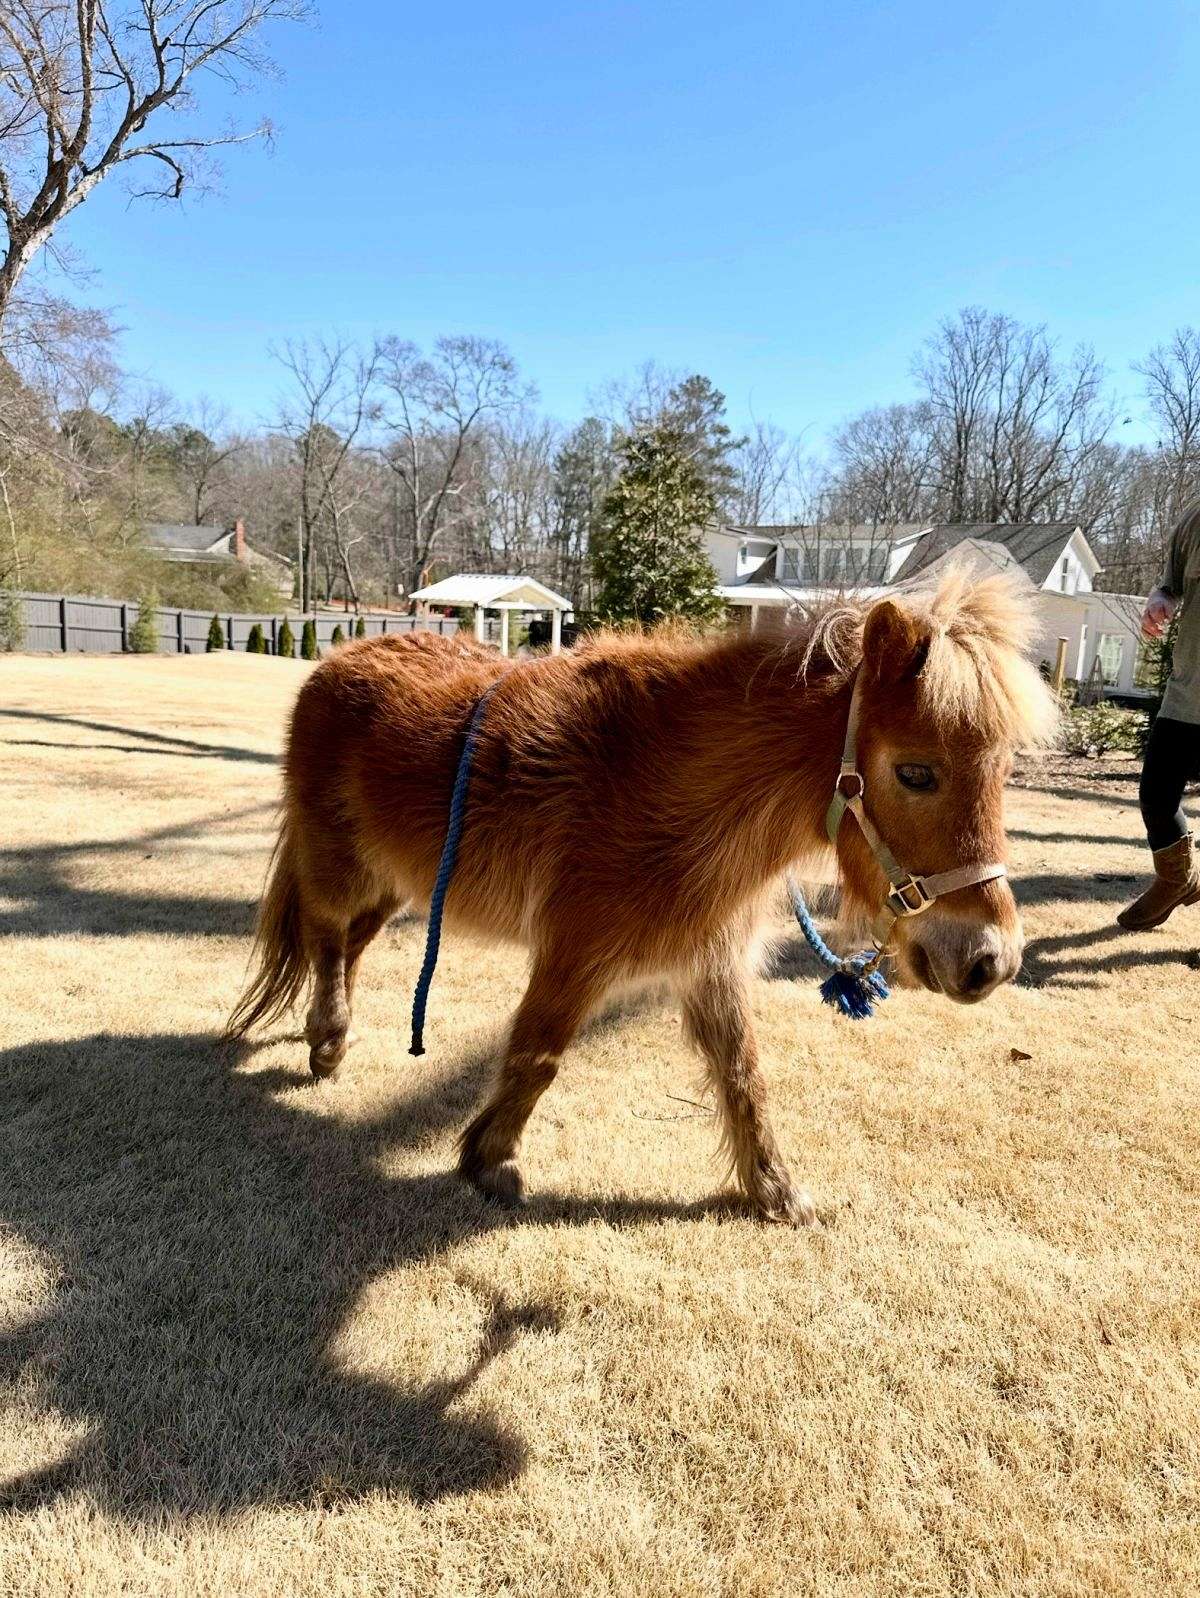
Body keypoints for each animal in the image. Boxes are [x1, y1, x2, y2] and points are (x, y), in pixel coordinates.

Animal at [226, 570, 1057, 1226]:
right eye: (916, 773)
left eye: (1002, 773)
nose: (991, 961)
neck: (664, 790)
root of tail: (337, 659)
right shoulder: (575, 955)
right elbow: (538, 1054)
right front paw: (489, 1161)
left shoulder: (709, 962)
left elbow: (744, 1075)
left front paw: (775, 1192)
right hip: (341, 865)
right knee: (327, 934)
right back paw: (328, 1038)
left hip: (398, 883)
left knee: (352, 942)